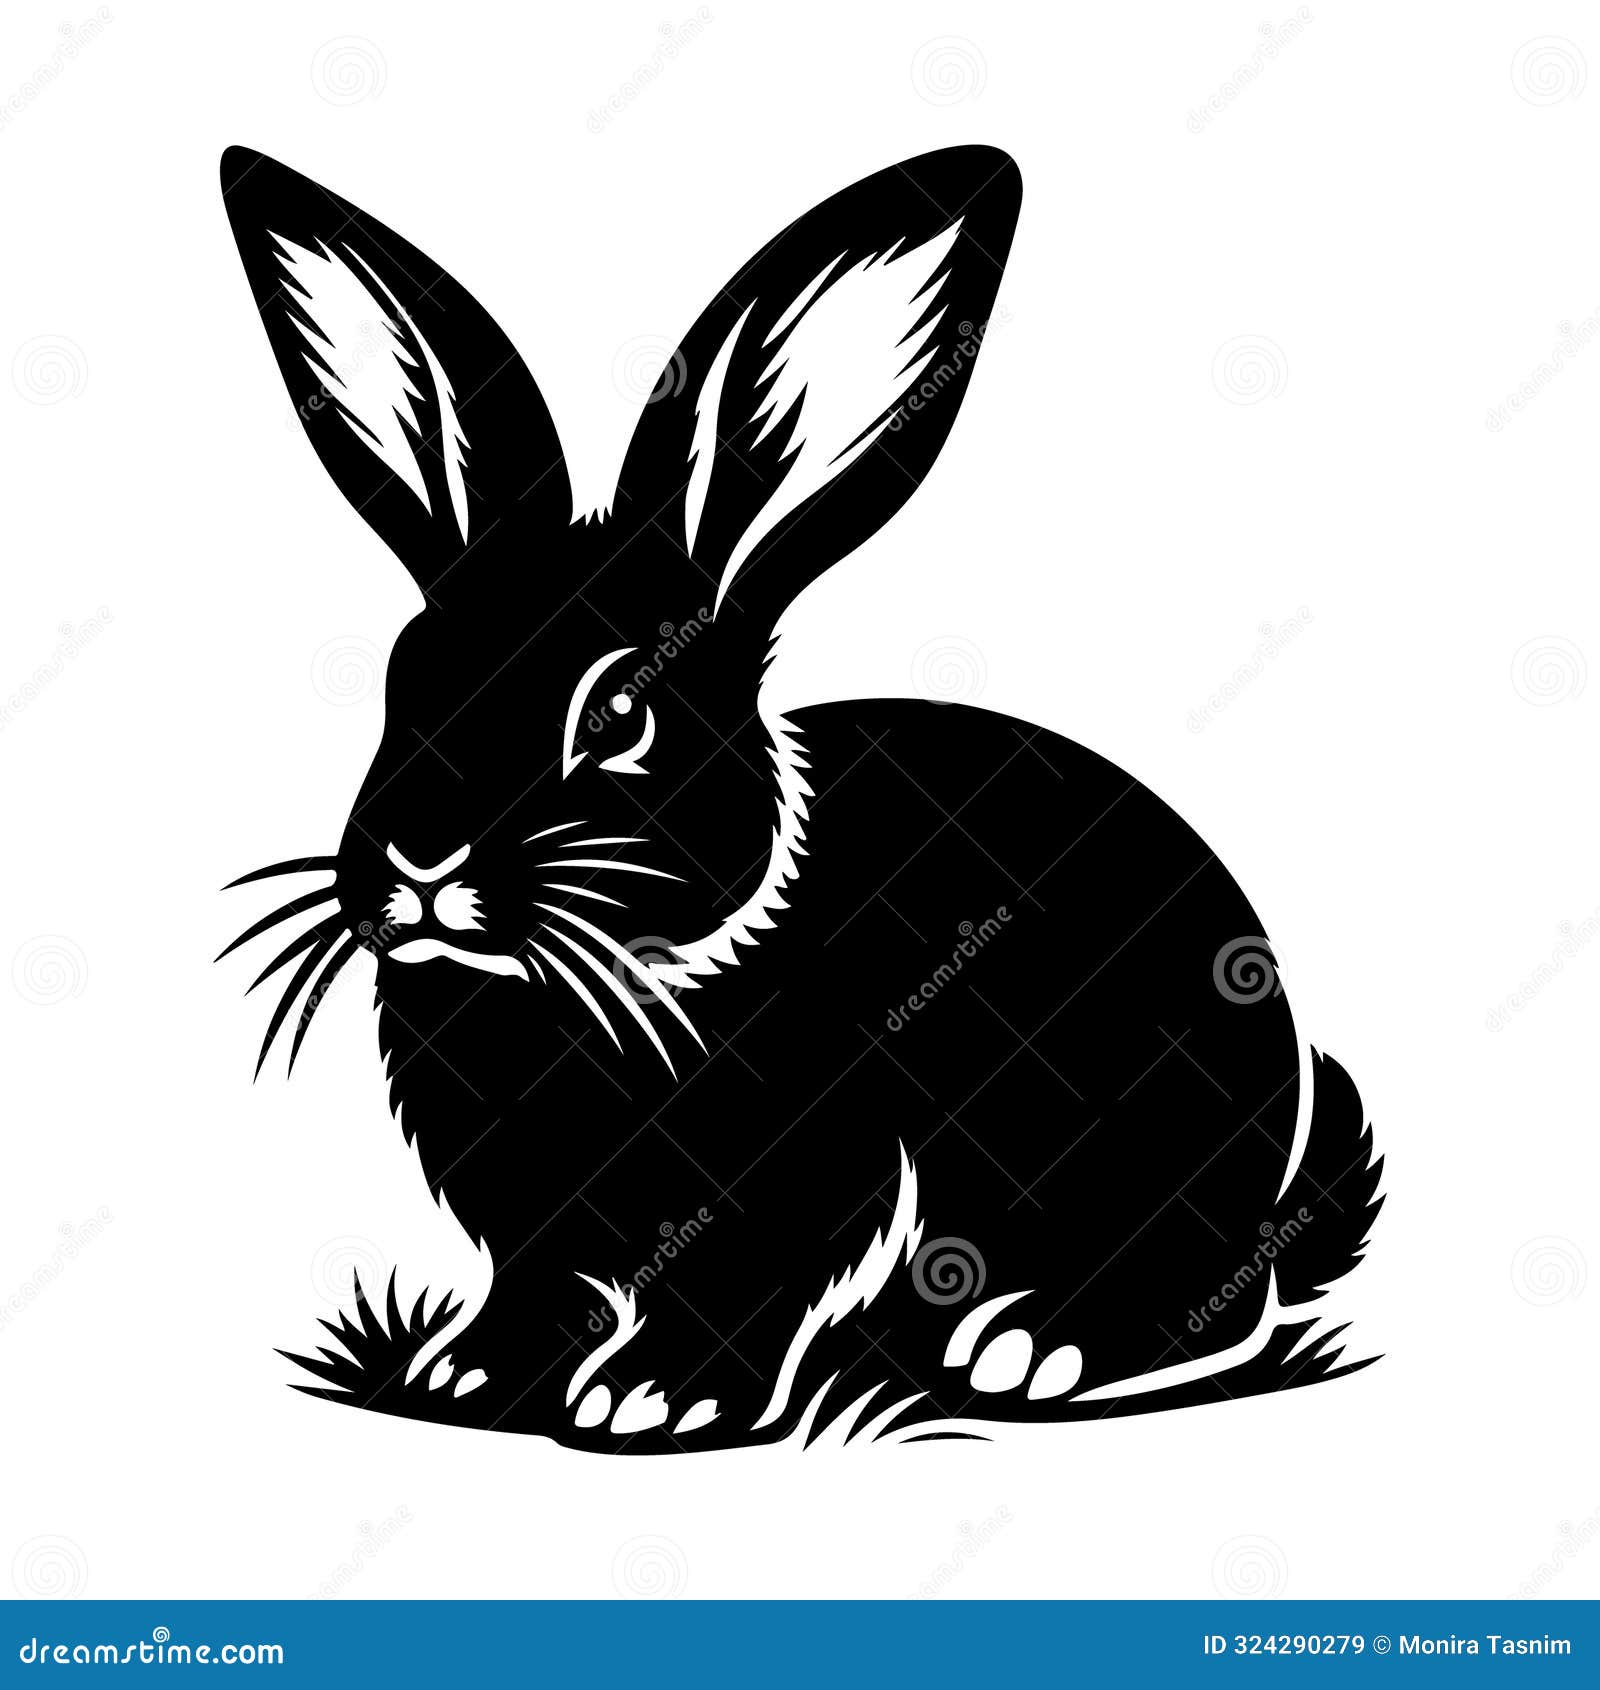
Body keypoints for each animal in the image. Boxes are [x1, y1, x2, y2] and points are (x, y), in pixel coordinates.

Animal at [217, 143, 1382, 1451]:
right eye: (401, 682)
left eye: (620, 714)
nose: (421, 863)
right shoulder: (533, 1228)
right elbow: (539, 1286)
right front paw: (465, 1372)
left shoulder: (806, 1180)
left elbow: (742, 1286)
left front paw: (654, 1397)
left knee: (1202, 1296)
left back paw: (1037, 1346)